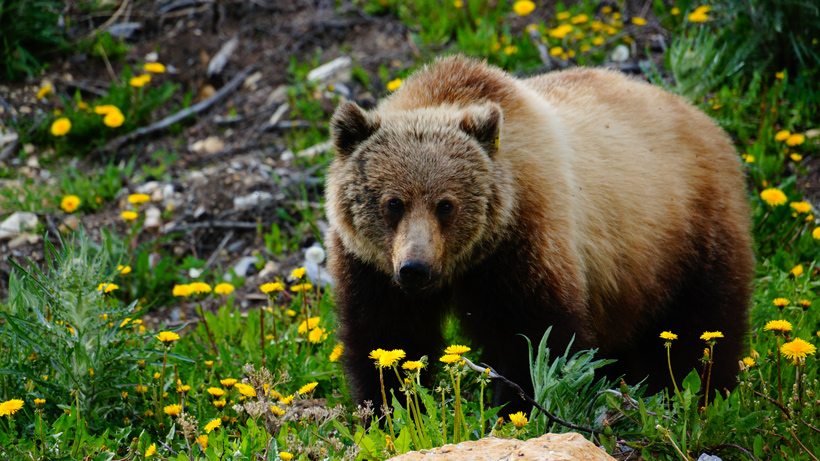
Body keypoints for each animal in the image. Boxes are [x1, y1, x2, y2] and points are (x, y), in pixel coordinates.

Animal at [325, 55, 754, 412]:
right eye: (393, 203)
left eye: (446, 205)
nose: (416, 268)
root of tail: (709, 122)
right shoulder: (371, 267)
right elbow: (386, 338)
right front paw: (385, 410)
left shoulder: (524, 238)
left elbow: (537, 339)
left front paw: (515, 409)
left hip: (687, 234)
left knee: (699, 330)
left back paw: (700, 395)